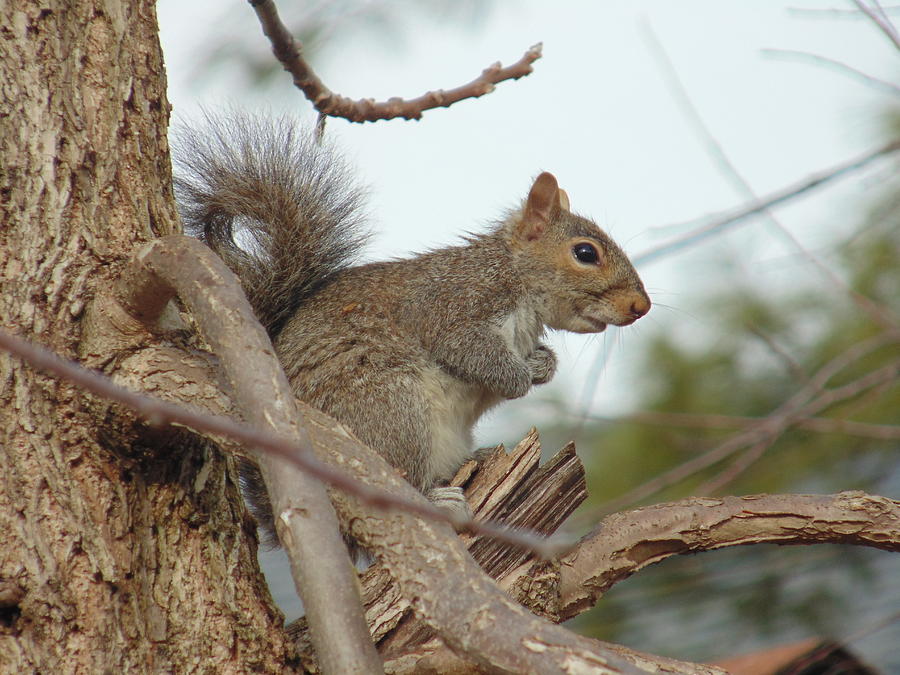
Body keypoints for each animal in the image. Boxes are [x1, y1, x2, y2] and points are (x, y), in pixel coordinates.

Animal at [174, 114, 650, 545]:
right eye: (585, 253)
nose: (641, 306)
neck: (514, 278)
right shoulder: (450, 308)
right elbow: (471, 354)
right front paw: (519, 377)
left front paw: (543, 364)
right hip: (389, 408)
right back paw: (436, 500)